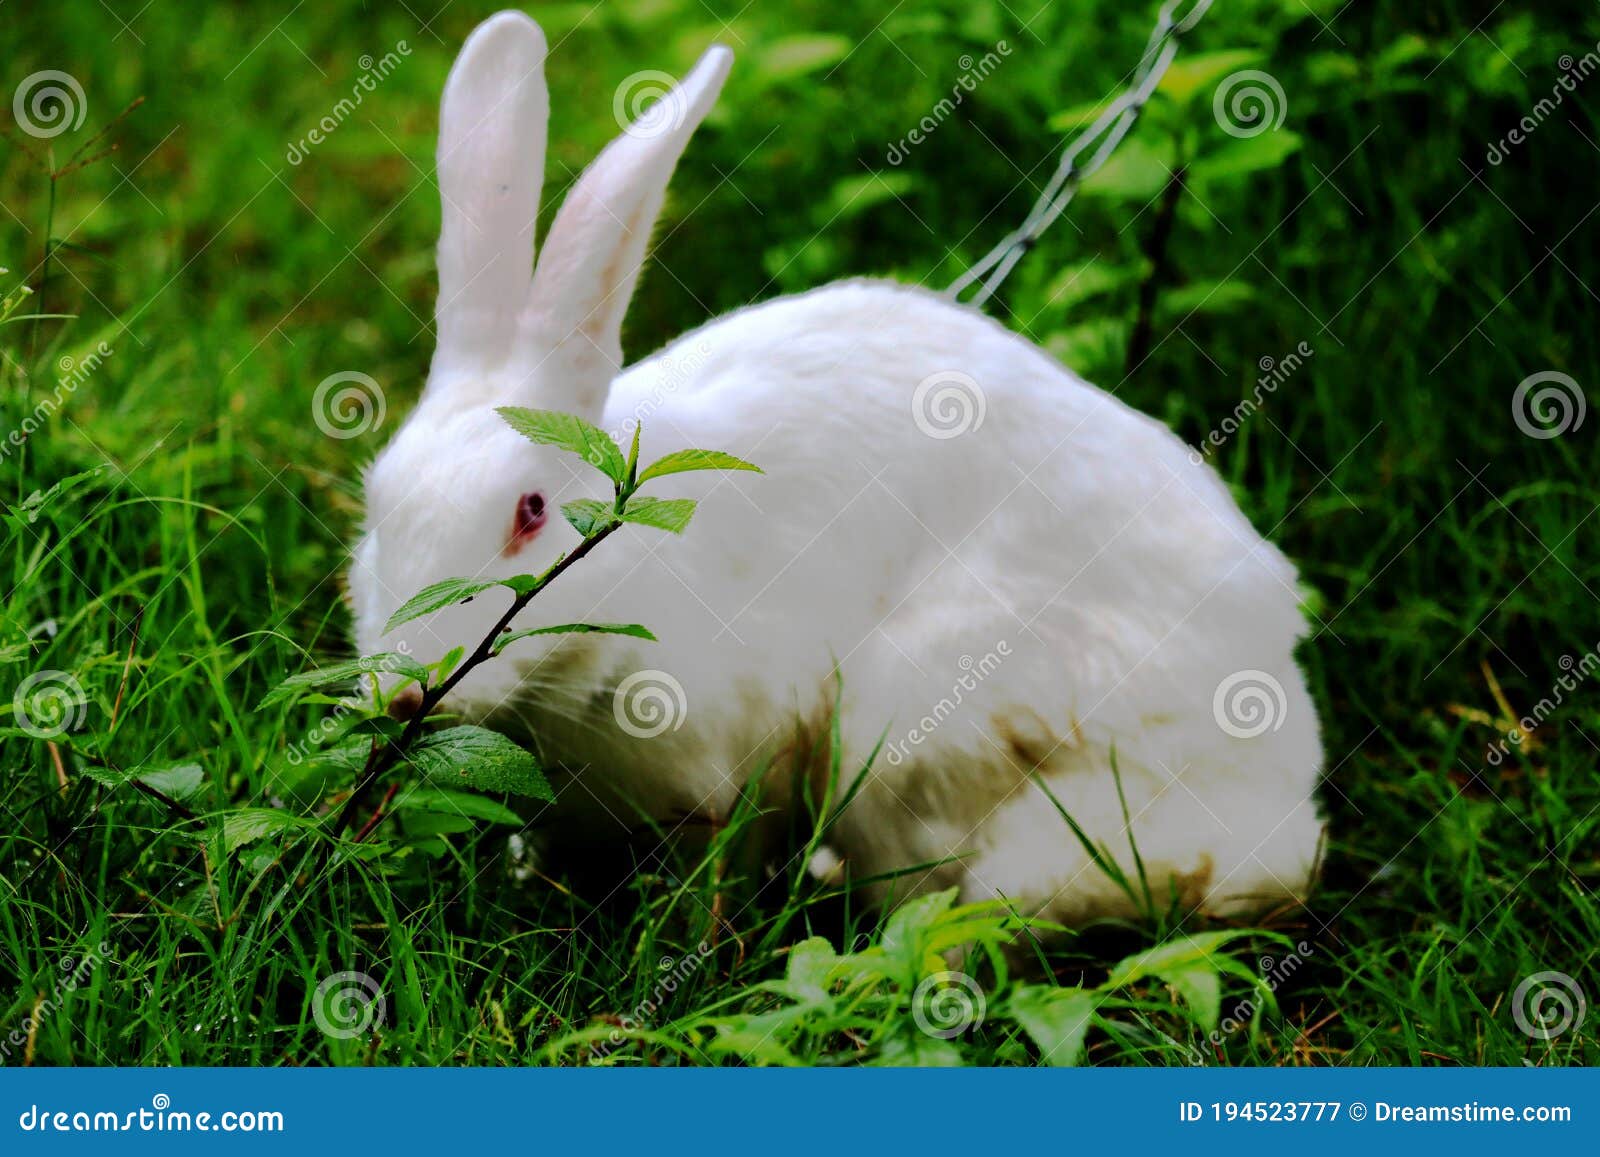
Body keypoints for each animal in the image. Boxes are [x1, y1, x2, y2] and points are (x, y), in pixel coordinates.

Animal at [346, 10, 1324, 925]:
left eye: (532, 511)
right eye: (378, 507)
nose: (402, 693)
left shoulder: (732, 764)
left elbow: (721, 865)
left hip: (922, 731)